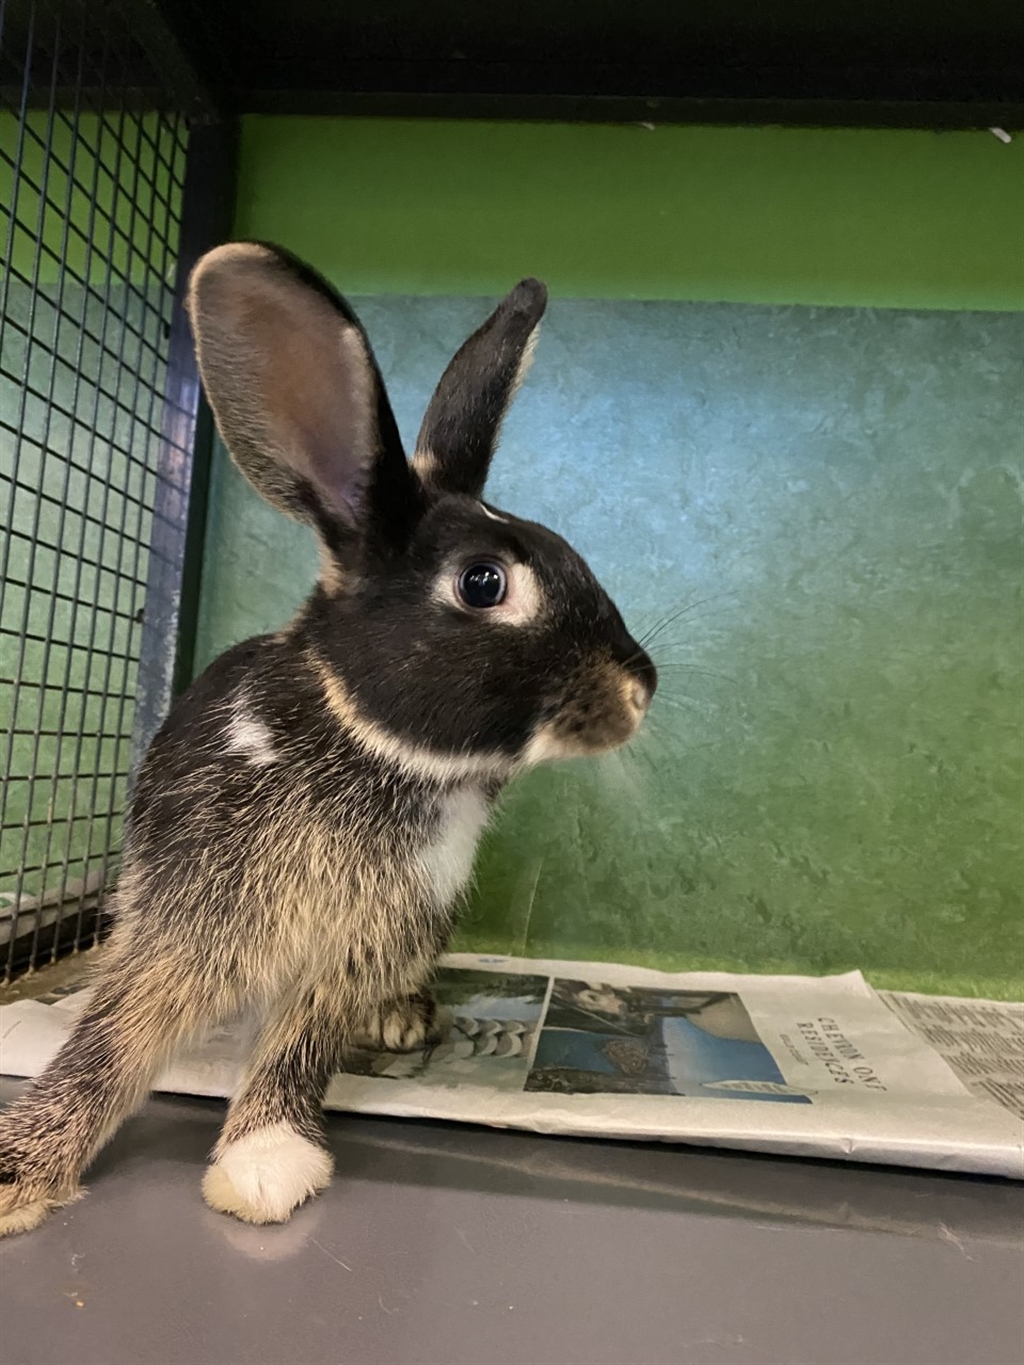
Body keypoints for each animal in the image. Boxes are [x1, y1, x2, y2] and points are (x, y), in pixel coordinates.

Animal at [0, 242, 656, 1235]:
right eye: (484, 582)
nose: (639, 690)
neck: (365, 747)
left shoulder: (353, 948)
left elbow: (301, 1044)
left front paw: (264, 1162)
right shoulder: (185, 923)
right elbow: (112, 1040)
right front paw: (19, 1172)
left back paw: (405, 1019)